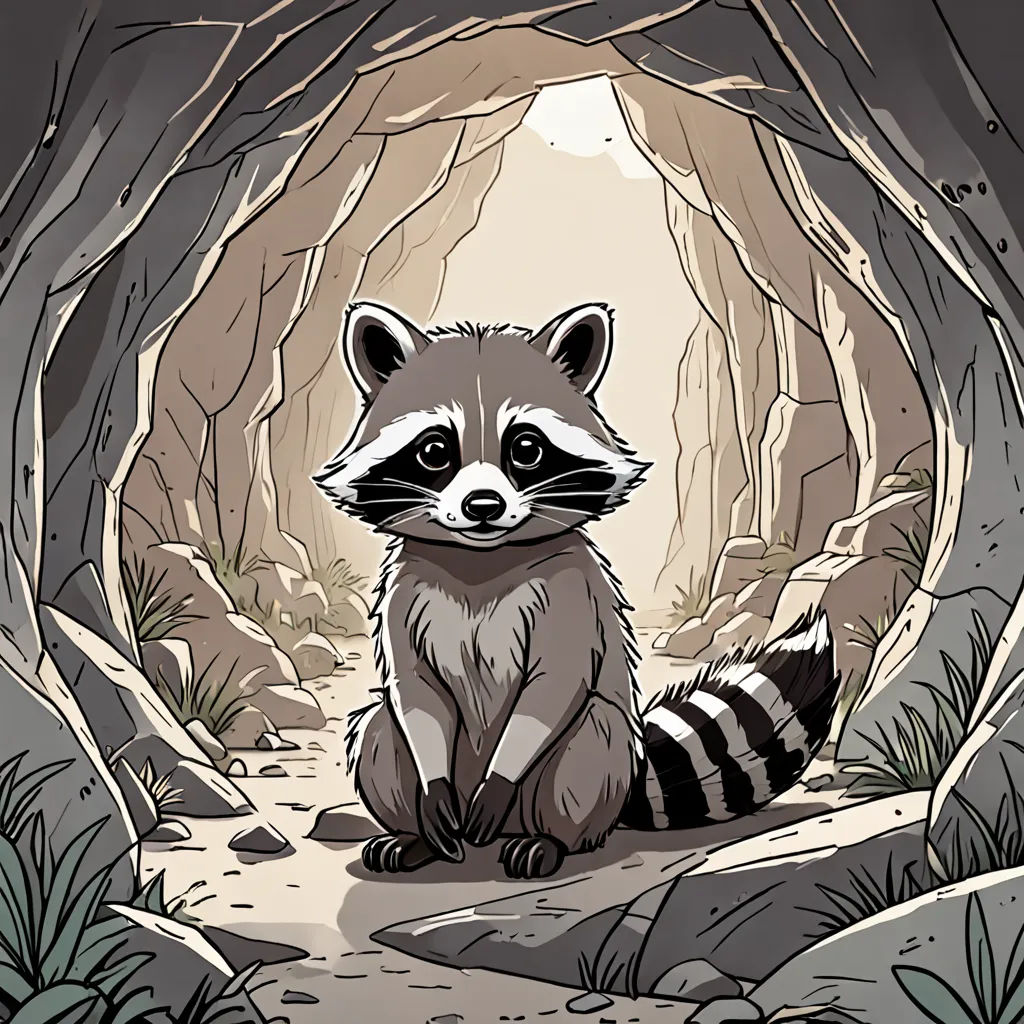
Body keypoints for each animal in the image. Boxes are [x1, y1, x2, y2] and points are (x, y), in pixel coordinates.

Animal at [314, 300, 840, 880]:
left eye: (525, 448)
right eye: (434, 451)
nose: (482, 506)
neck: (481, 560)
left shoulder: (570, 590)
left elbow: (555, 686)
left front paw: (501, 783)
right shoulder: (404, 592)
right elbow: (413, 692)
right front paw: (430, 796)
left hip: (599, 766)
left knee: (589, 735)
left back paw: (547, 840)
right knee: (378, 725)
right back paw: (413, 836)